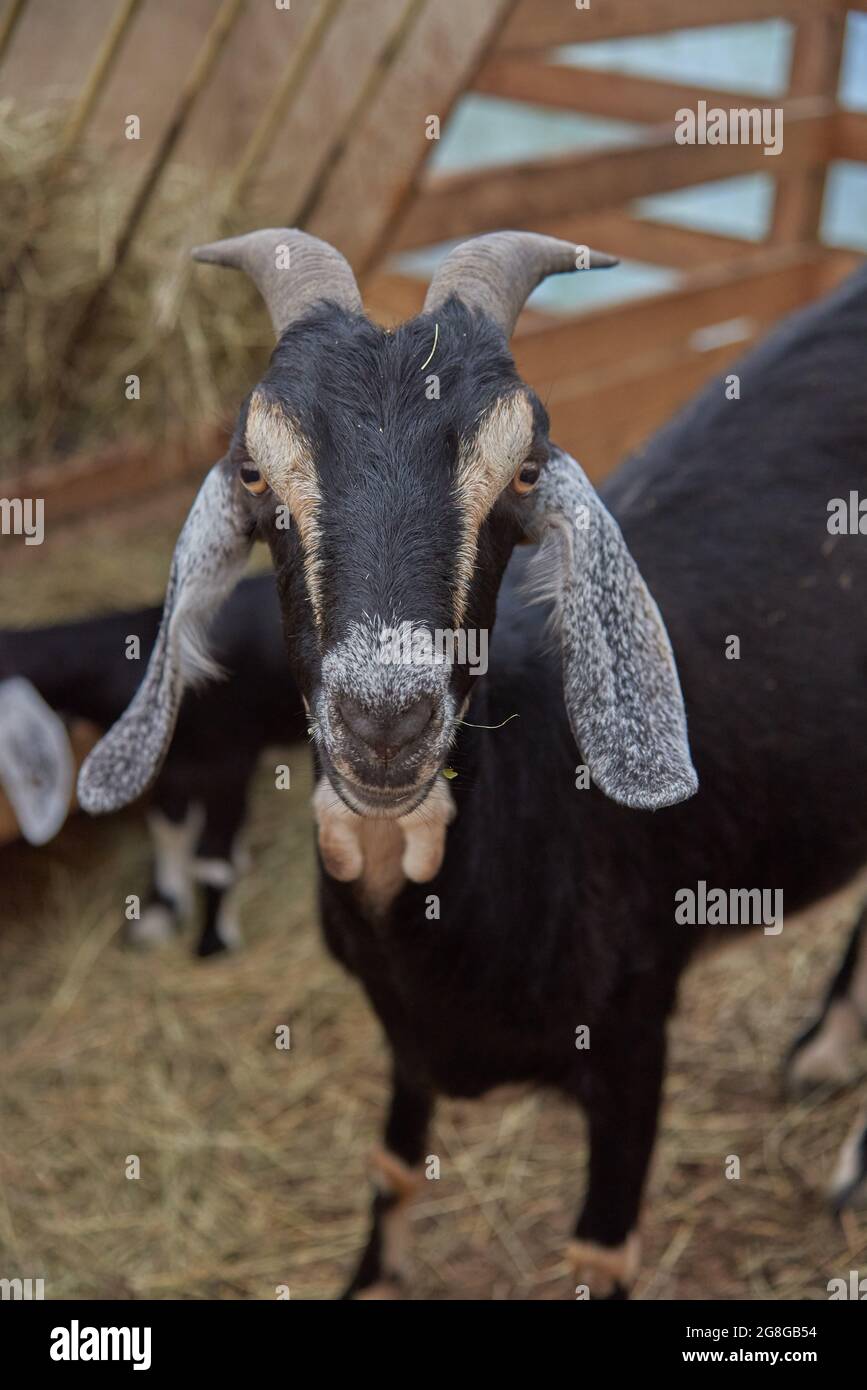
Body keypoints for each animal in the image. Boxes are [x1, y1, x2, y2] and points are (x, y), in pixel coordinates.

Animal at [1, 576, 305, 955]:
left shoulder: (230, 763)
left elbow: (212, 860)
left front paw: (213, 943)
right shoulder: (172, 768)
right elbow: (167, 830)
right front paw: (162, 914)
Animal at [78, 228, 867, 1297]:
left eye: (525, 472)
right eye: (252, 474)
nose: (385, 718)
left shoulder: (635, 1027)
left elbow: (600, 1248)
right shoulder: (403, 1036)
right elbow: (391, 1167)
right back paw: (822, 1051)